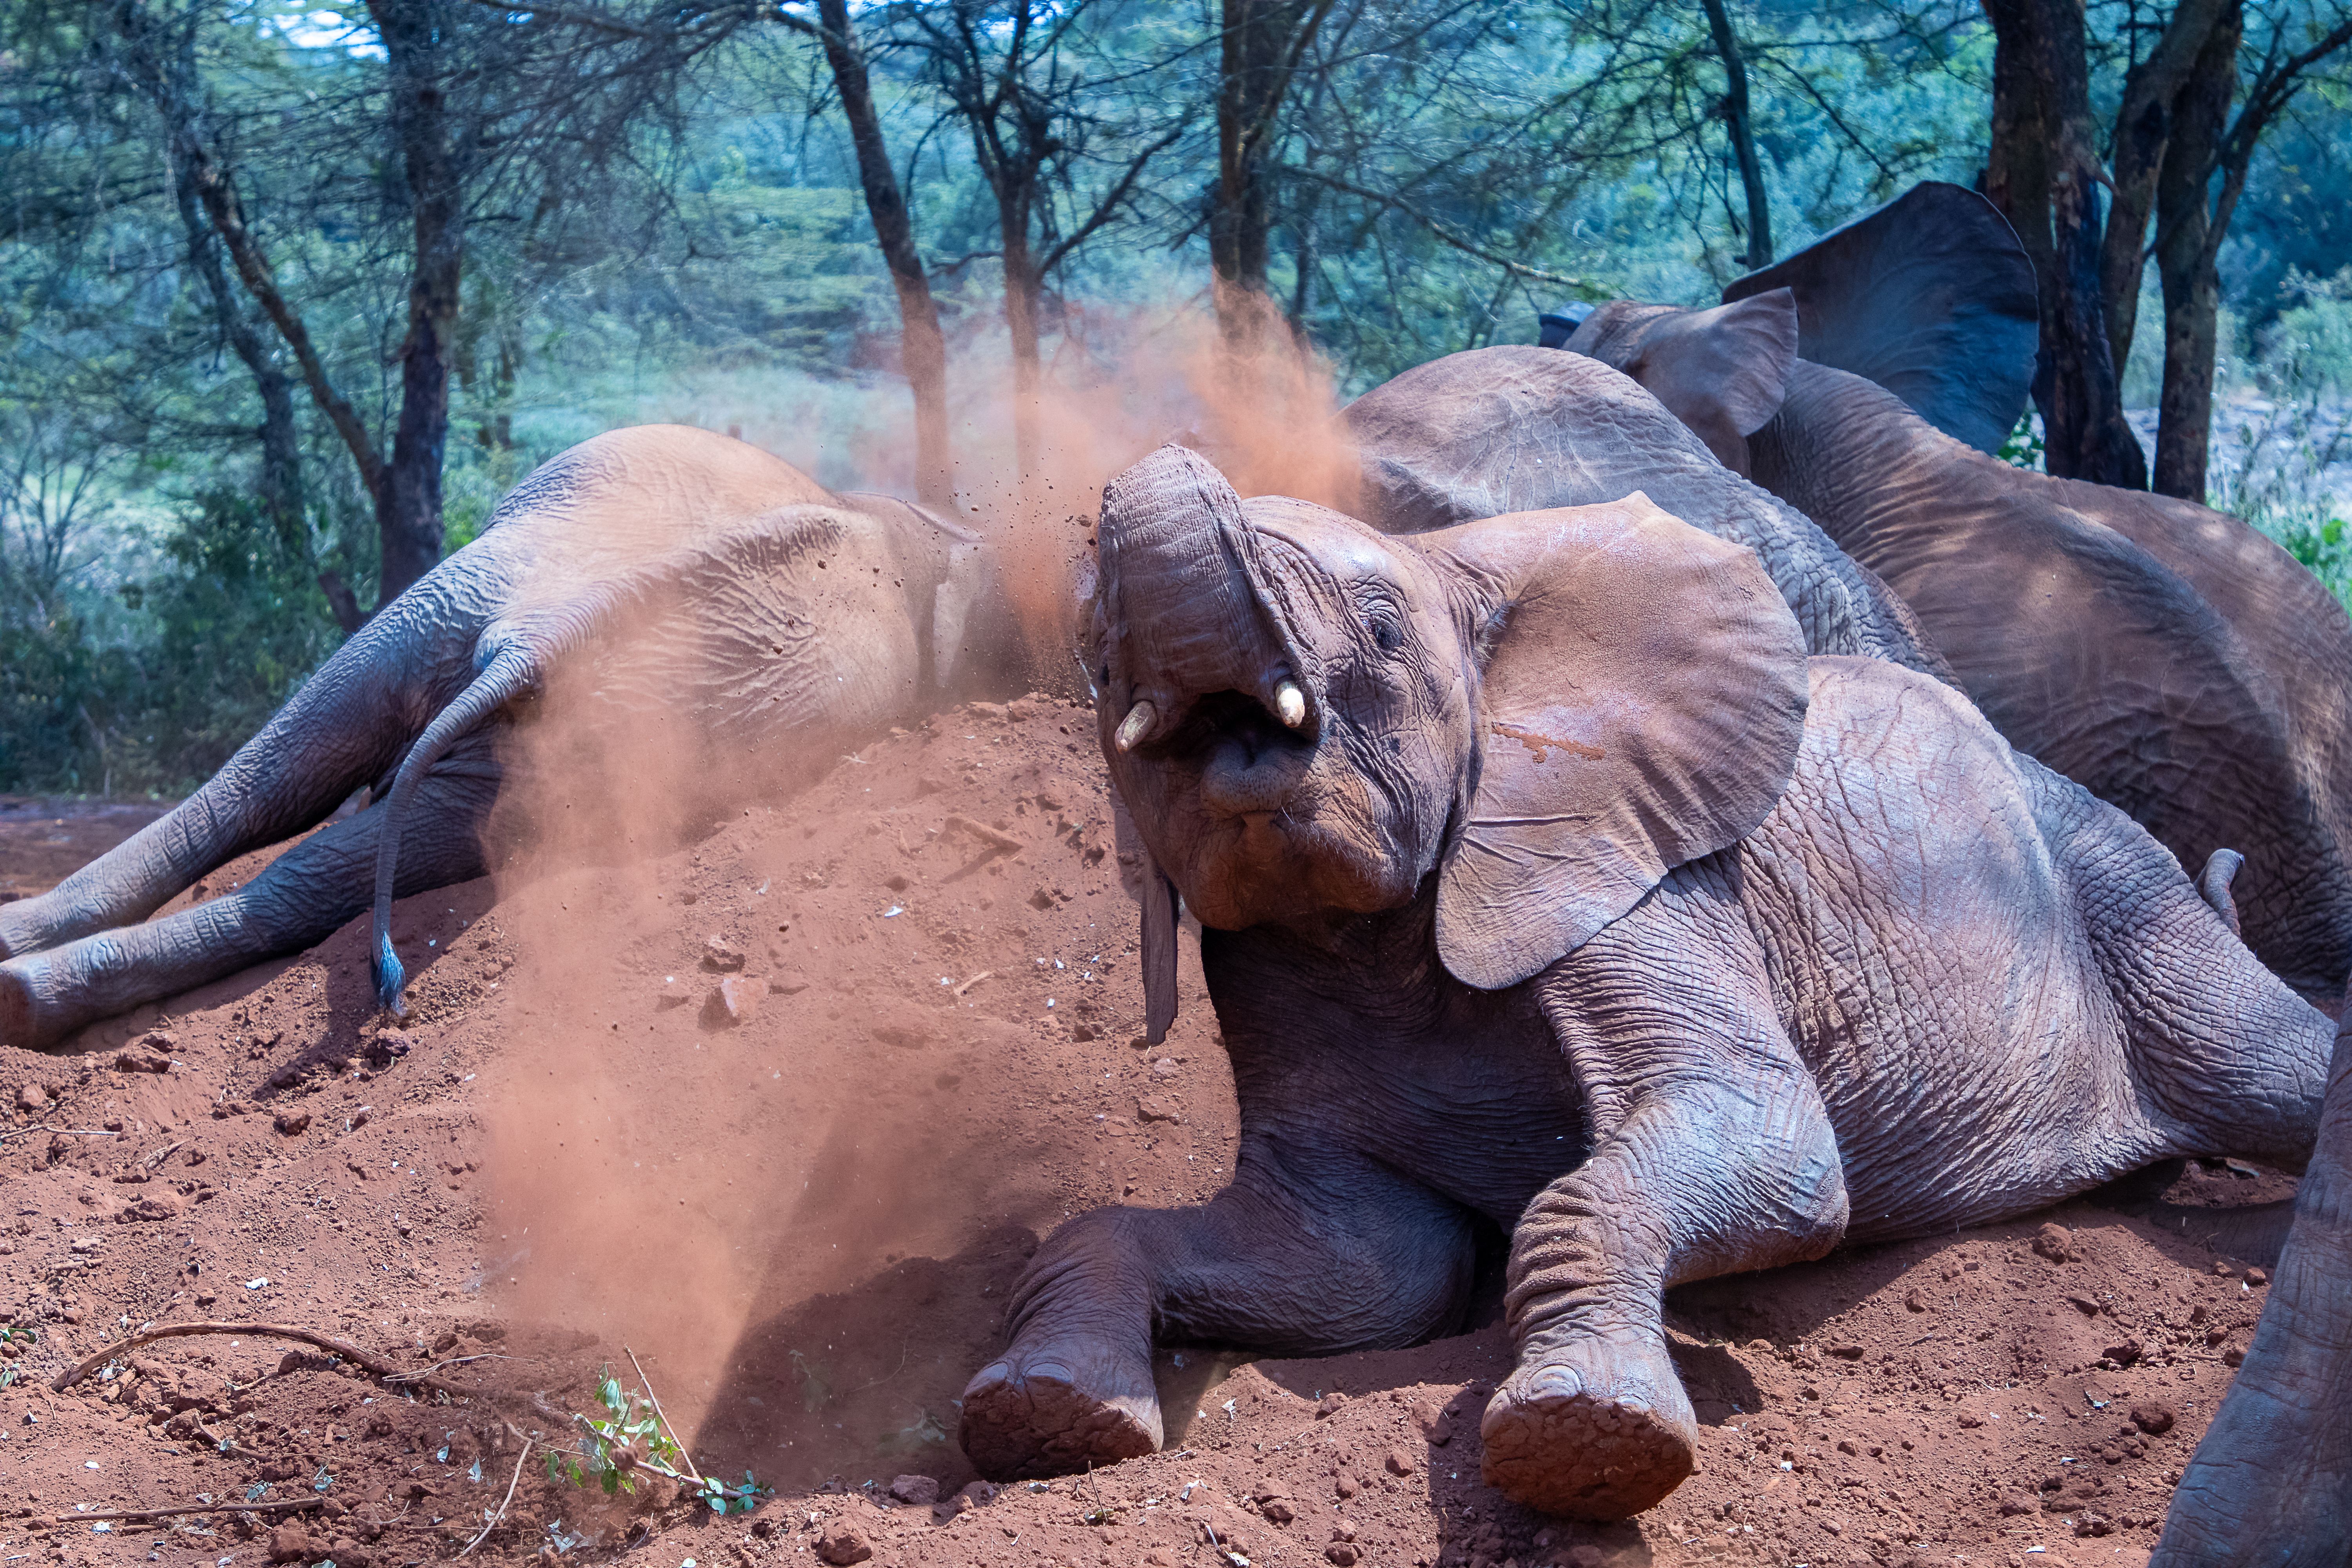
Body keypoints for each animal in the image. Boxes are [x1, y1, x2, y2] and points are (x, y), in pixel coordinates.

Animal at [0, 423, 1009, 1051]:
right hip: (507, 600)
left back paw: (23, 980)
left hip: (573, 695)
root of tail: (544, 633)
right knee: (283, 776)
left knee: (286, 806)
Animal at [953, 443, 2333, 1524]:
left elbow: (1775, 1152)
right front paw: (1045, 1419)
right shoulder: (1279, 969)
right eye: (1098, 668)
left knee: (2267, 1069)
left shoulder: (1639, 879)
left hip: (2120, 882)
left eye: (1384, 634)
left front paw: (1581, 1445)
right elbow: (1363, 1262)